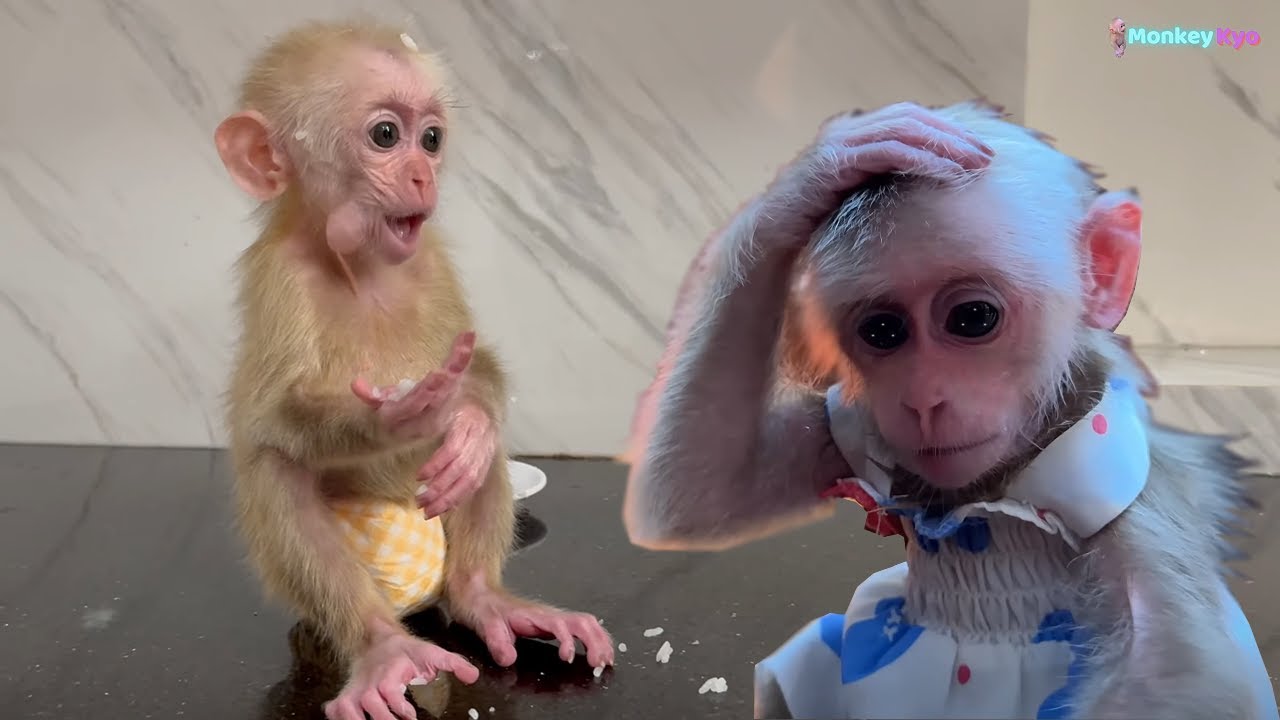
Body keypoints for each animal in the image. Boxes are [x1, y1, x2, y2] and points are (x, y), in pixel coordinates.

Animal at [213, 19, 612, 720]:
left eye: (431, 138)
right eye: (384, 136)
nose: (425, 176)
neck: (359, 268)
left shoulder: (429, 258)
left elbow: (475, 370)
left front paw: (470, 419)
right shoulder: (281, 278)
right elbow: (273, 419)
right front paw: (399, 415)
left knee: (469, 488)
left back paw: (485, 595)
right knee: (278, 468)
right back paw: (383, 648)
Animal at [621, 101, 1277, 719]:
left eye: (972, 319)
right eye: (884, 331)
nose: (922, 399)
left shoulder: (1129, 491)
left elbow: (1183, 679)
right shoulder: (851, 428)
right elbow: (705, 495)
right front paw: (822, 168)